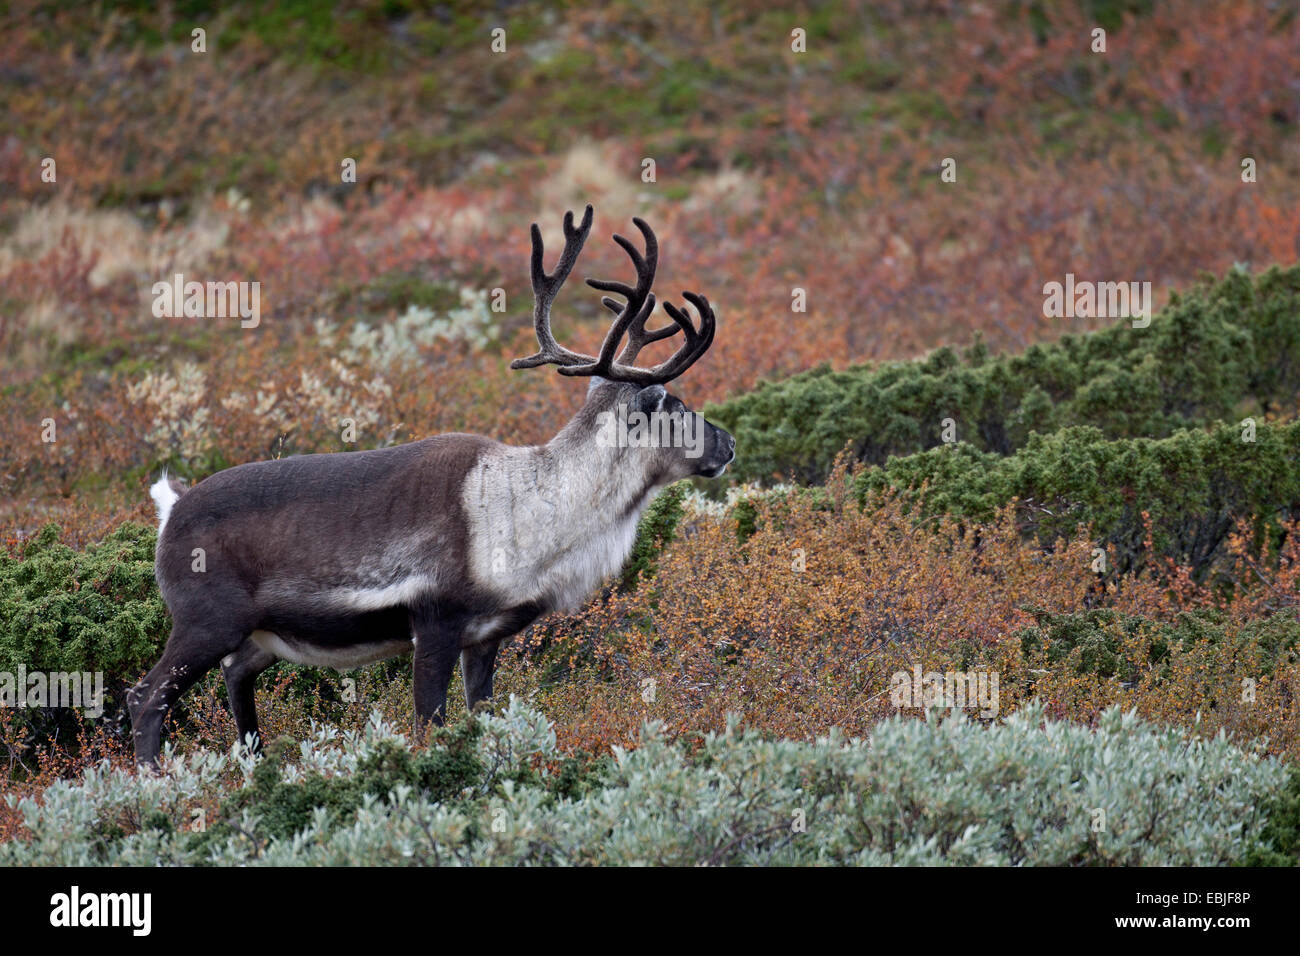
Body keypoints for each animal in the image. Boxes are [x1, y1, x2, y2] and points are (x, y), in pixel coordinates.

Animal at [128, 205, 735, 766]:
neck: (534, 513)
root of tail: (170, 508)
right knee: (146, 697)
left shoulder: (486, 636)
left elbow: (481, 717)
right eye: (674, 406)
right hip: (205, 621)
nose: (727, 444)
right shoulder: (435, 622)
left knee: (235, 679)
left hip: (258, 637)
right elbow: (429, 725)